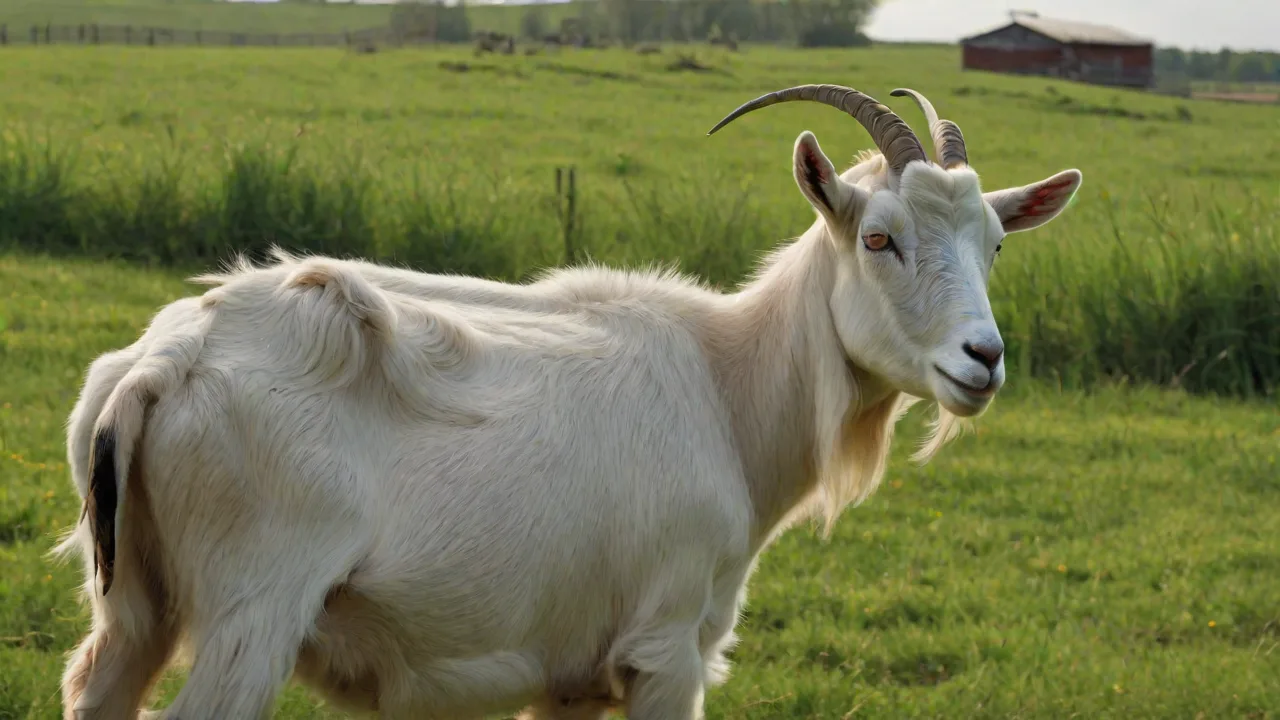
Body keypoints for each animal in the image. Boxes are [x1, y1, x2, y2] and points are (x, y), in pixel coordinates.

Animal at [55, 84, 1081, 719]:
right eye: (878, 238)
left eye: (995, 243)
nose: (982, 361)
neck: (728, 386)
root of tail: (164, 366)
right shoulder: (667, 646)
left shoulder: (572, 674)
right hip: (252, 609)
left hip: (135, 604)